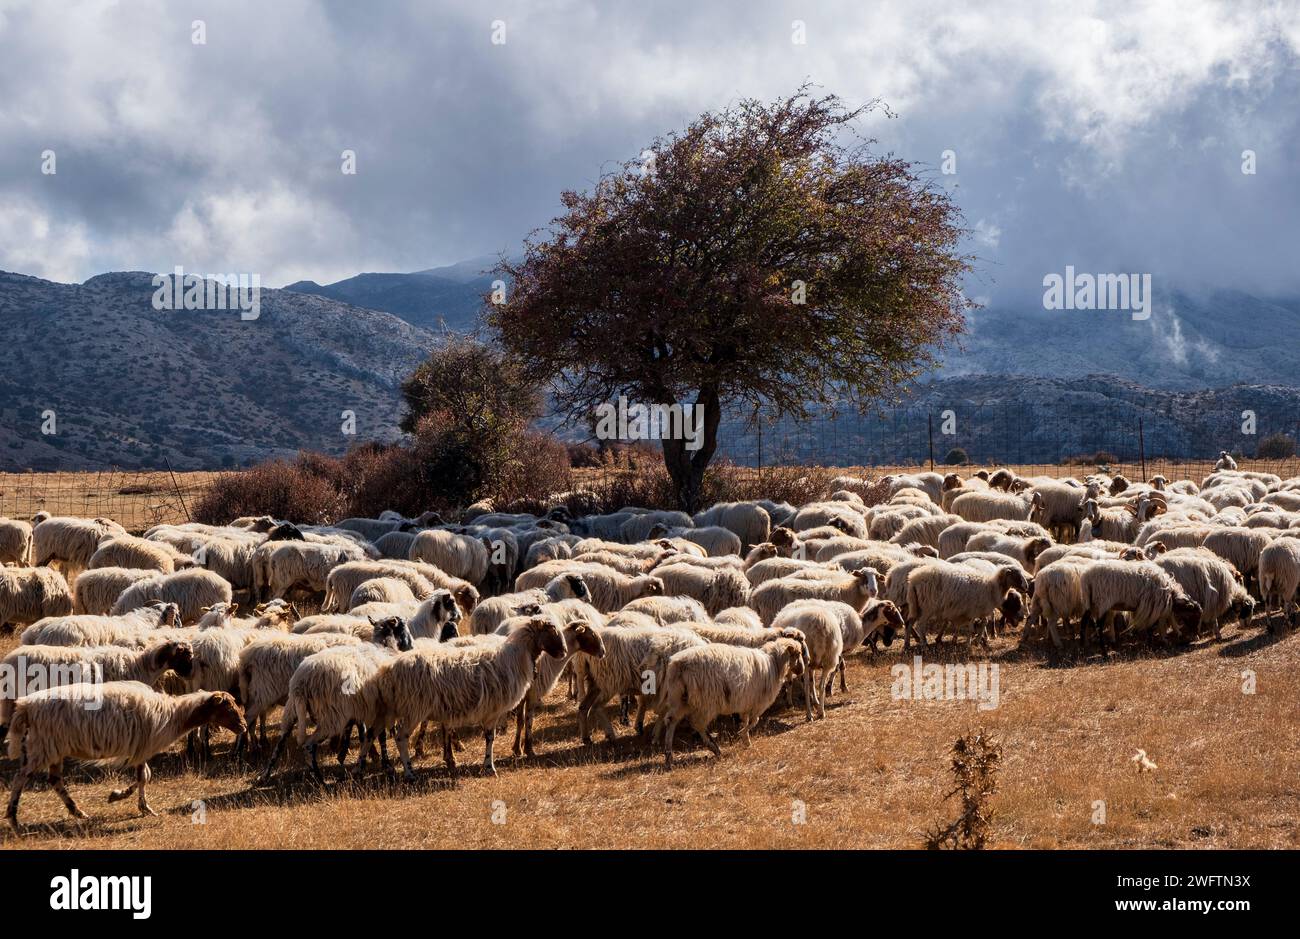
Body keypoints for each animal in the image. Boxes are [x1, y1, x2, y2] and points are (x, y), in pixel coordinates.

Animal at [5, 682, 245, 829]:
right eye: (228, 707)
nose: (243, 726)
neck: (174, 714)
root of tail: (26, 706)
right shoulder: (142, 746)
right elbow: (143, 777)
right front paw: (141, 806)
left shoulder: (140, 750)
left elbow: (144, 776)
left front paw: (118, 796)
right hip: (44, 747)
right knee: (20, 777)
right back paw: (13, 818)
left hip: (55, 749)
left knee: (54, 780)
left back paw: (78, 812)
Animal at [360, 616, 567, 778]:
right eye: (551, 630)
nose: (563, 652)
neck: (516, 658)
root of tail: (387, 670)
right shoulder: (493, 710)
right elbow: (490, 738)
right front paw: (489, 767)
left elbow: (488, 737)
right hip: (413, 709)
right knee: (401, 737)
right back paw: (409, 773)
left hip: (386, 708)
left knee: (370, 734)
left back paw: (359, 769)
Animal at [659, 637, 806, 769]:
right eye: (798, 653)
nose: (802, 670)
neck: (774, 663)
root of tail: (678, 665)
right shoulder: (758, 703)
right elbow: (754, 721)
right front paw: (742, 734)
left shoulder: (746, 703)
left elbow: (746, 721)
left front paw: (746, 740)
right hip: (706, 702)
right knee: (698, 724)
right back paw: (714, 748)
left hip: (679, 698)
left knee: (671, 720)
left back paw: (668, 757)